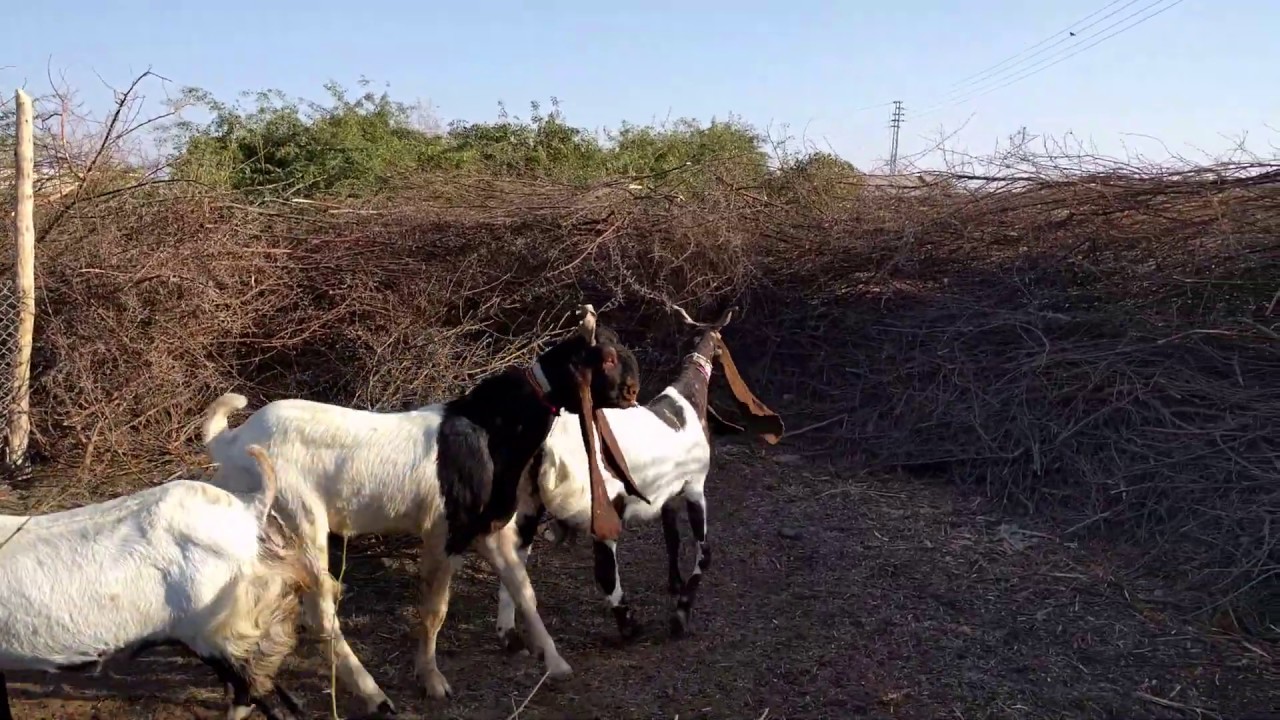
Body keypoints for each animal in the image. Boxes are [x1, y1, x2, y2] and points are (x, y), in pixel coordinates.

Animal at [199, 304, 643, 716]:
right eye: (604, 357)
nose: (632, 390)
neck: (489, 431)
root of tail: (229, 441)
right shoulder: (445, 531)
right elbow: (434, 610)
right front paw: (431, 680)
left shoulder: (487, 528)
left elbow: (524, 589)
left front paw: (555, 661)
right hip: (300, 521)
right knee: (321, 615)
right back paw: (375, 696)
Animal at [495, 307, 783, 649]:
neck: (687, 402)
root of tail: (544, 448)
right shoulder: (695, 487)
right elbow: (705, 552)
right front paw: (680, 615)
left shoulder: (668, 496)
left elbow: (672, 538)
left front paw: (675, 585)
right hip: (601, 509)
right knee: (605, 572)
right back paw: (629, 628)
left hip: (529, 502)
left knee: (515, 559)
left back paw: (508, 632)